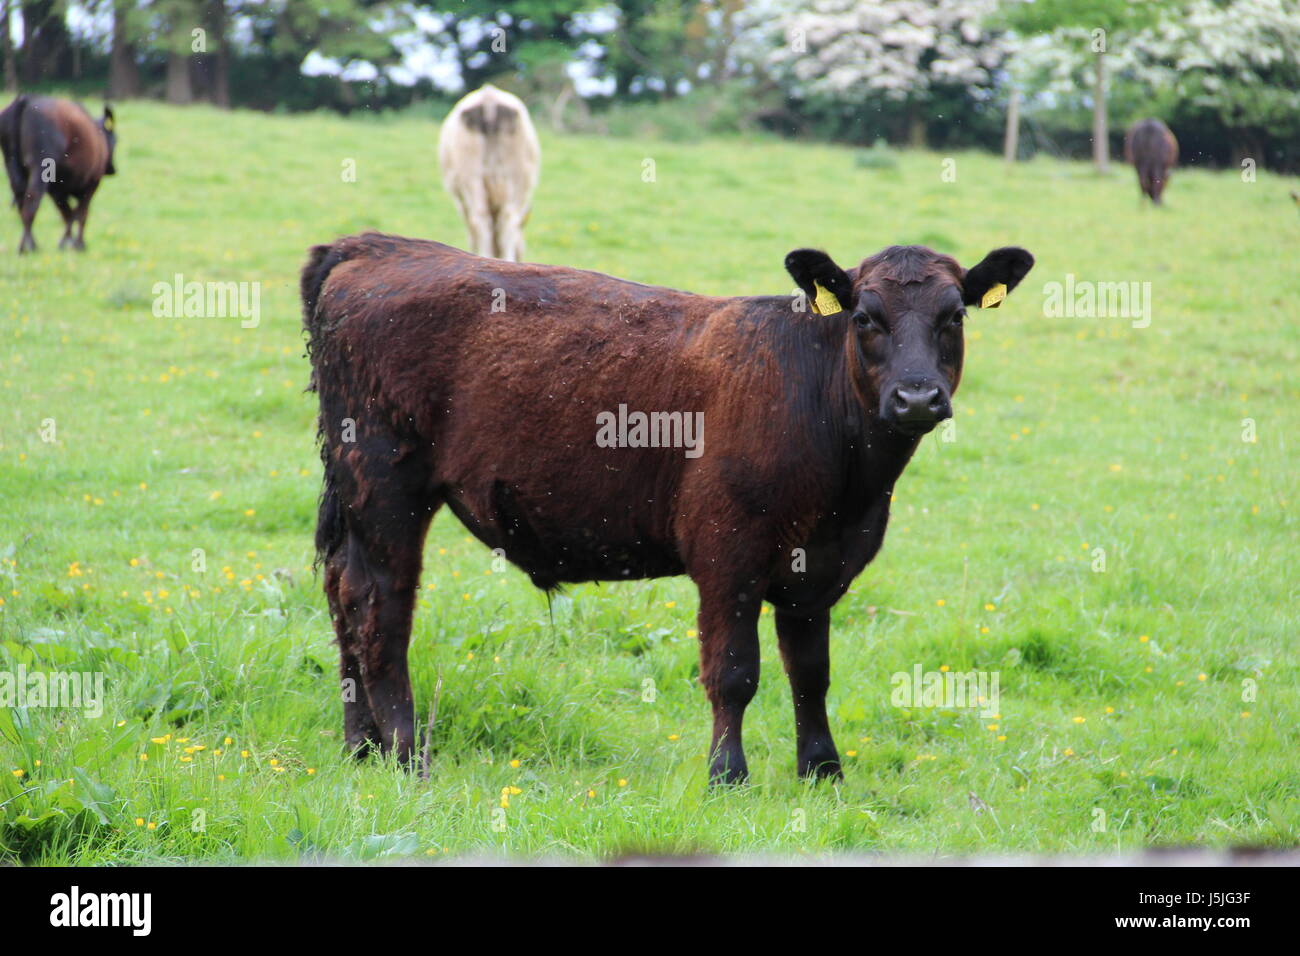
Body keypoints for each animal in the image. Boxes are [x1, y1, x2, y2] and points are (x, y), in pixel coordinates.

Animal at [0, 96, 117, 254]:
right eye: (115, 141)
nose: (112, 169)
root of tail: (26, 100)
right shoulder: (92, 183)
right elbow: (80, 214)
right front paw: (77, 244)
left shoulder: (57, 190)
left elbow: (68, 213)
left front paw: (67, 243)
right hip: (39, 168)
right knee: (31, 203)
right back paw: (25, 248)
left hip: (12, 167)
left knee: (21, 203)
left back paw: (31, 245)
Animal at [301, 233, 1034, 784]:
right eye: (864, 317)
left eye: (954, 316)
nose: (917, 397)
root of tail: (376, 245)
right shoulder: (727, 555)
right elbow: (733, 672)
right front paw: (727, 775)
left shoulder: (818, 568)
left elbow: (811, 673)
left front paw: (822, 771)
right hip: (387, 486)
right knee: (381, 609)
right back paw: (404, 751)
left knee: (343, 592)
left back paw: (360, 745)